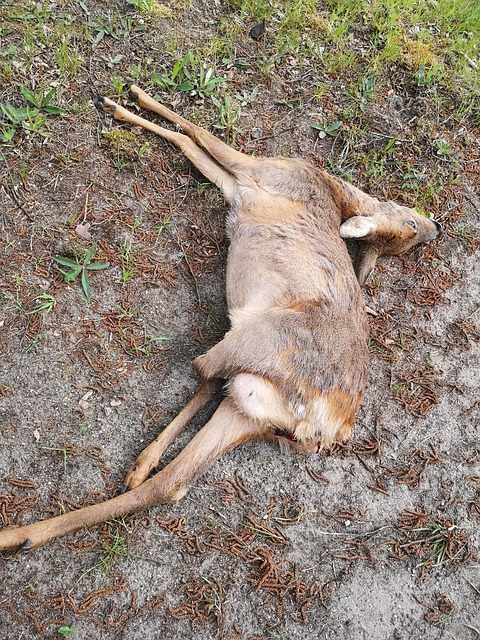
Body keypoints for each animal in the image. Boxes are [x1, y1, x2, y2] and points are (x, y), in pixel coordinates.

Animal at [0, 85, 441, 552]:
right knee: (175, 479)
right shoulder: (240, 185)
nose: (436, 227)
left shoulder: (259, 168)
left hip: (256, 341)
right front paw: (125, 101)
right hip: (249, 410)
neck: (332, 190)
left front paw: (125, 100)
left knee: (203, 371)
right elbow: (194, 146)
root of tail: (327, 427)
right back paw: (86, 499)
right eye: (410, 221)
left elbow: (195, 134)